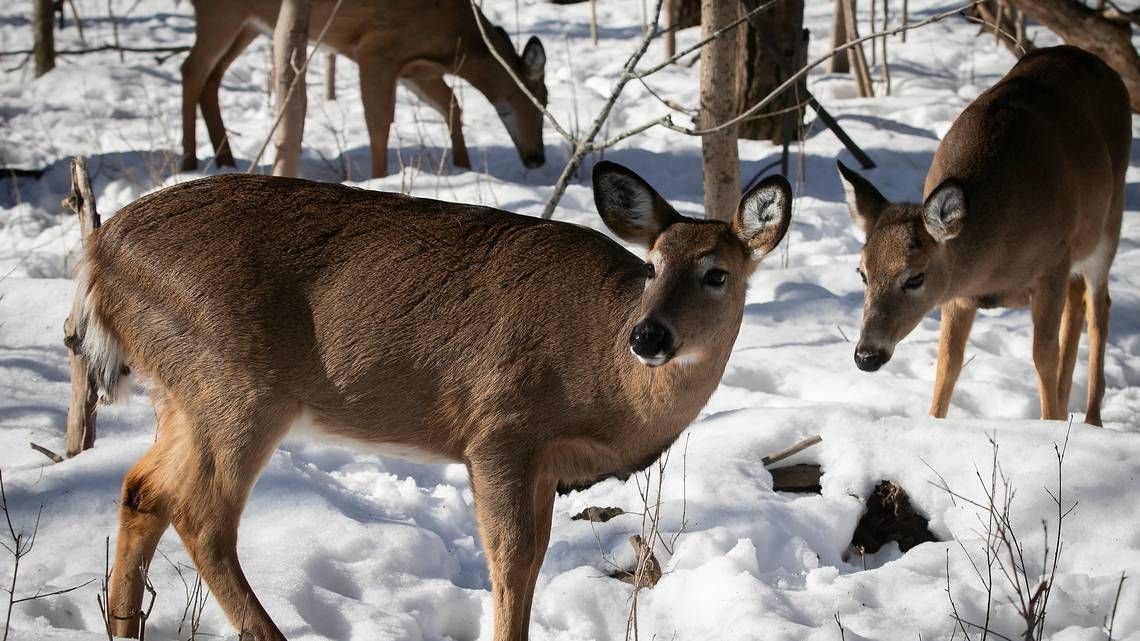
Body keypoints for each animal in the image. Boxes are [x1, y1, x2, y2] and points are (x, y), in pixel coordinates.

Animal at [75, 161, 793, 640]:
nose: (648, 336)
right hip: (234, 384)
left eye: (717, 274)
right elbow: (510, 563)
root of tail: (99, 253)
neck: (607, 378)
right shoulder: (499, 427)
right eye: (652, 266)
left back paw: (122, 626)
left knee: (142, 489)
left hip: (183, 393)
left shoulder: (542, 464)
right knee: (201, 516)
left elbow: (532, 562)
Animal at [181, 0, 548, 178]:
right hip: (222, 15)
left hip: (249, 25)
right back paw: (189, 161)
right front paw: (379, 178)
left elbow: (452, 104)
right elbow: (379, 121)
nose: (537, 158)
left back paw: (225, 159)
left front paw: (463, 167)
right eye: (541, 102)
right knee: (192, 69)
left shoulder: (414, 69)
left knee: (211, 78)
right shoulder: (377, 48)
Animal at [836, 45, 1130, 426]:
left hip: (1110, 221)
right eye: (862, 273)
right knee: (1078, 303)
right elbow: (948, 363)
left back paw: (1091, 419)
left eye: (915, 277)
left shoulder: (1053, 264)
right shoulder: (959, 294)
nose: (867, 355)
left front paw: (1049, 423)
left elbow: (1043, 356)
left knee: (1099, 310)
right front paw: (933, 421)